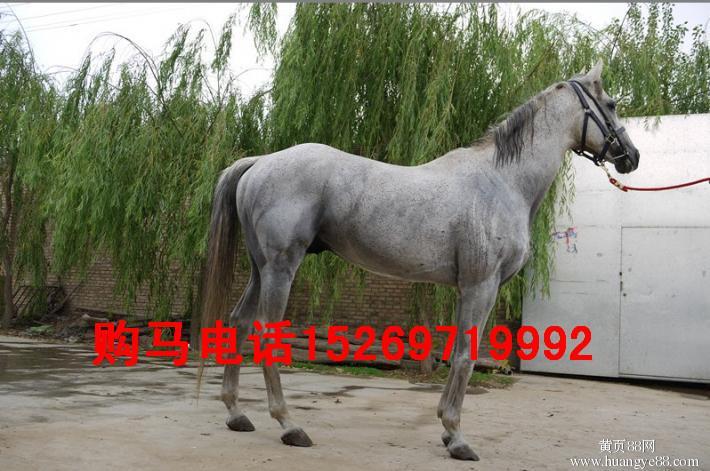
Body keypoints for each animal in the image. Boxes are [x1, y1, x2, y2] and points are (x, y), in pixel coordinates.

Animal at [200, 60, 639, 461]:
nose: (631, 157)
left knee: (239, 322)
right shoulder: (480, 286)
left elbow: (461, 350)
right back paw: (289, 425)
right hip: (280, 267)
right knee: (264, 332)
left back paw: (237, 414)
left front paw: (446, 429)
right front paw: (457, 438)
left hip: (260, 269)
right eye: (612, 104)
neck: (502, 182)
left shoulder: (472, 290)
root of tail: (260, 161)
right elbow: (464, 356)